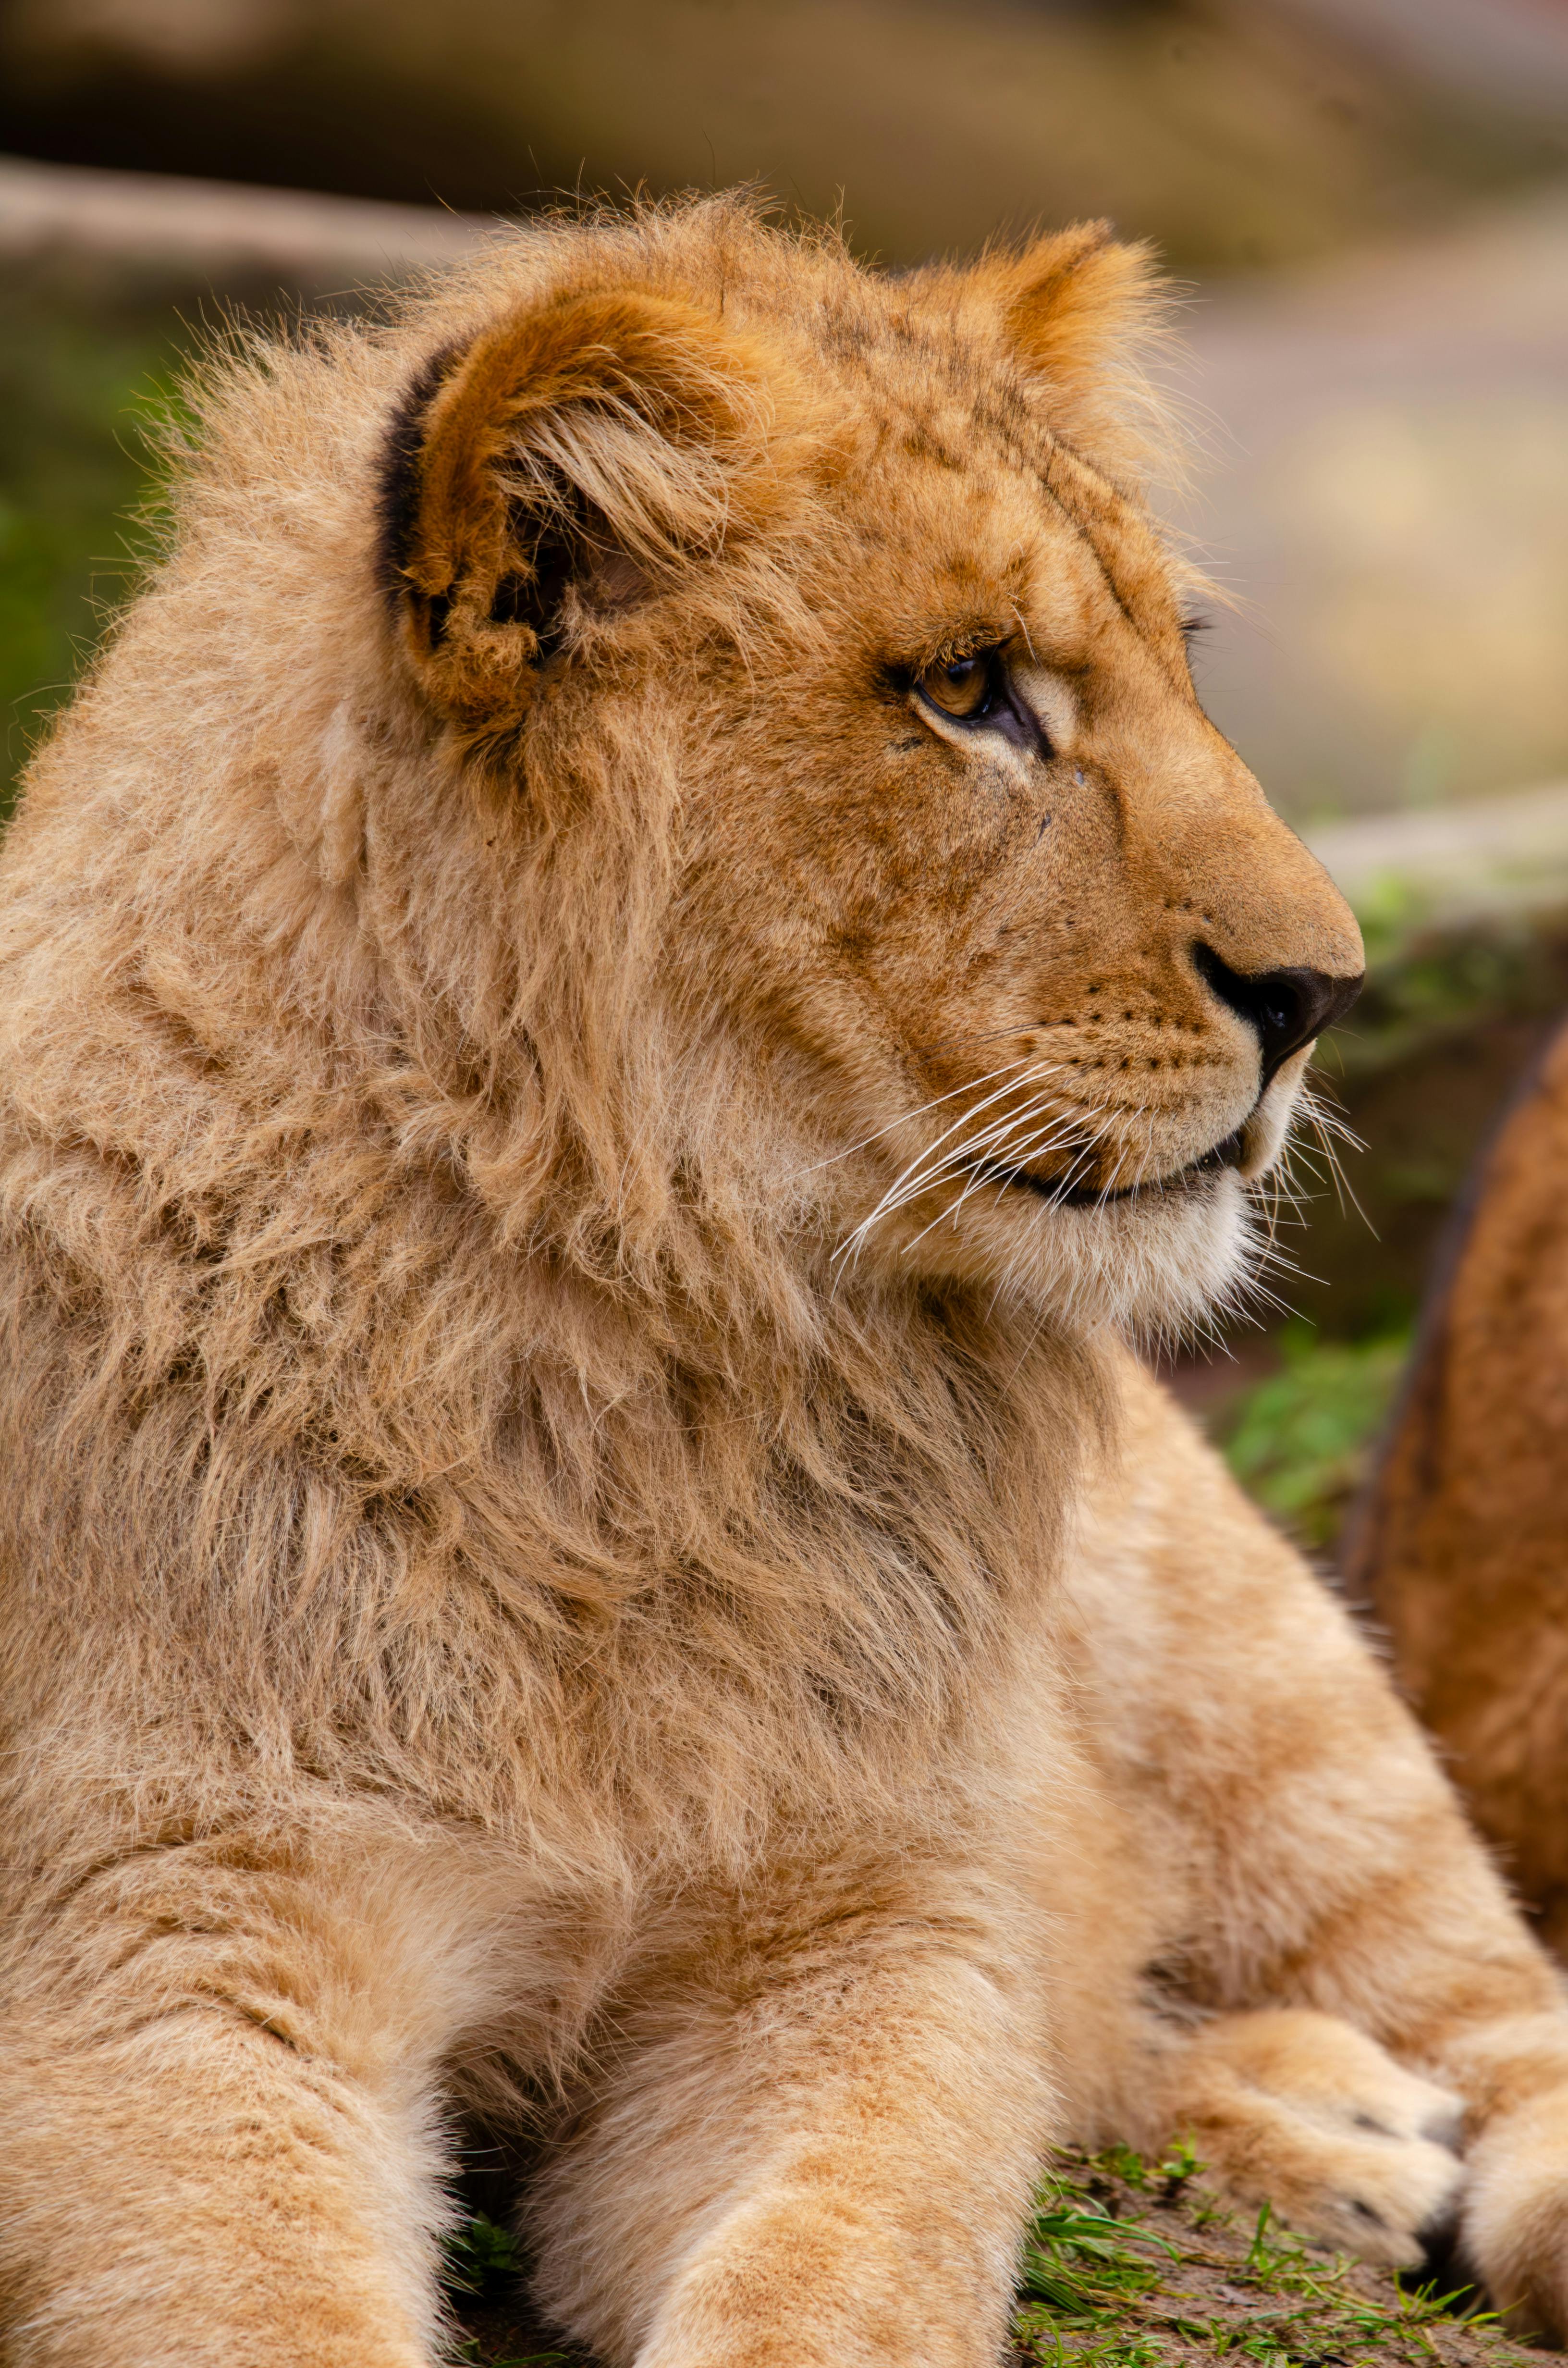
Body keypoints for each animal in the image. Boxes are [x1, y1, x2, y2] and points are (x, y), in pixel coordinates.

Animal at [5, 194, 1568, 2368]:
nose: (1322, 991)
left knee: (1477, 1997)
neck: (636, 1355)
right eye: (970, 688)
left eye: (1181, 662)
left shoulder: (853, 1928)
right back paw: (1313, 2119)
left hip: (1264, 1674)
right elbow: (251, 2298)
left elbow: (857, 2254)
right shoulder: (164, 1921)